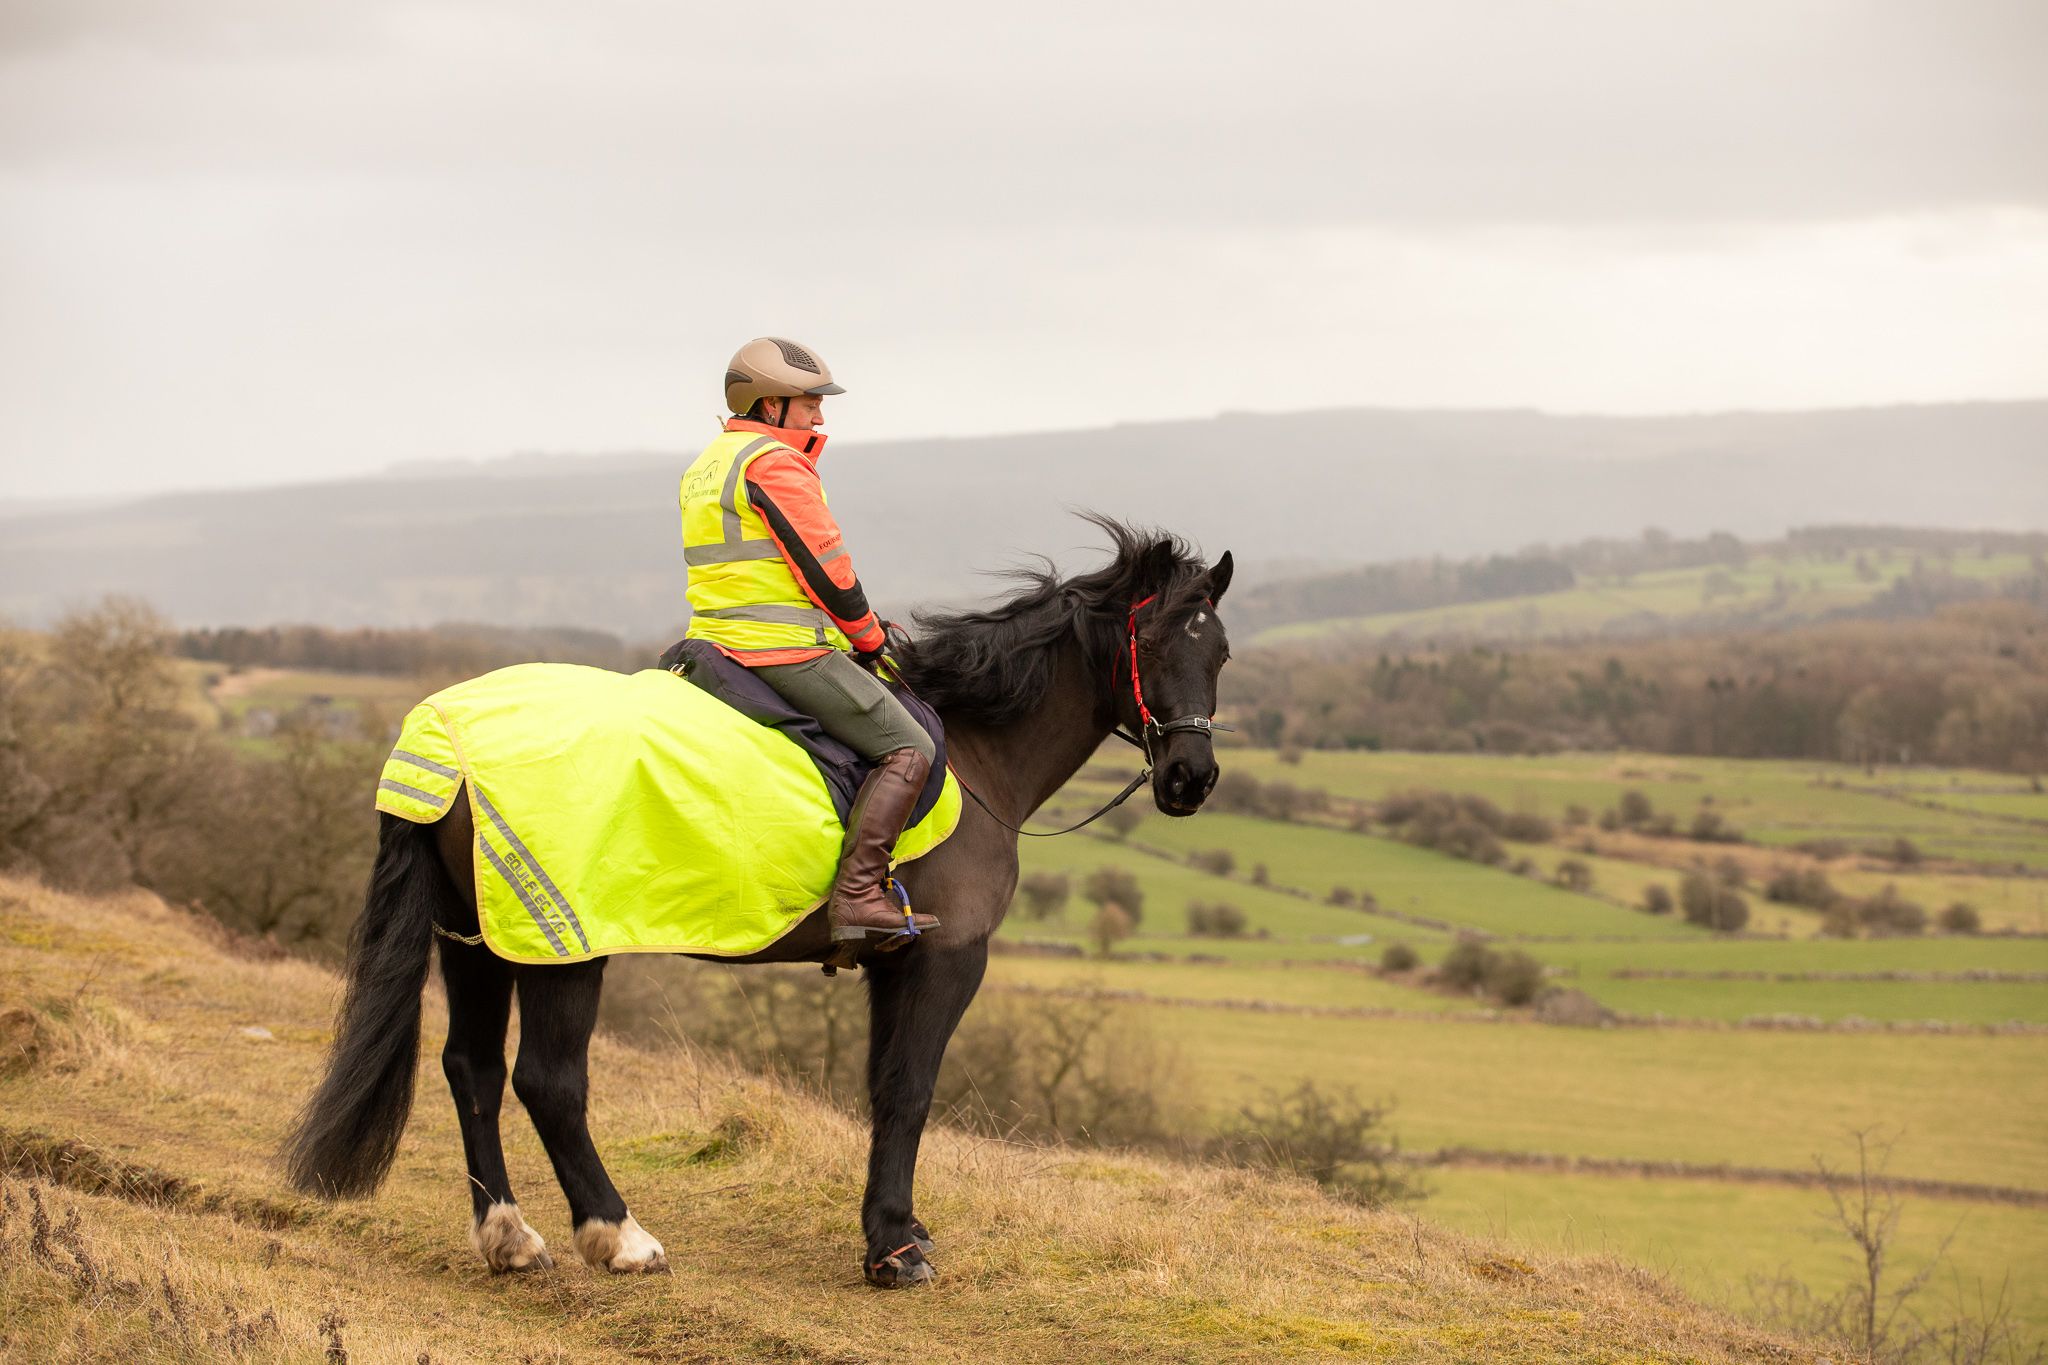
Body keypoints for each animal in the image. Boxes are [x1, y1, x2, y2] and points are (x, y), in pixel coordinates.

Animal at [282, 517, 1234, 1287]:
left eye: (1219, 653)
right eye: (1154, 643)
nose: (1191, 779)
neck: (973, 750)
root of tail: (444, 735)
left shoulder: (891, 963)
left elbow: (881, 1088)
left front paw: (894, 1226)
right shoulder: (945, 959)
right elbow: (910, 1091)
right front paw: (894, 1250)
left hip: (479, 938)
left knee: (471, 1068)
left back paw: (510, 1239)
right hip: (566, 945)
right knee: (547, 1080)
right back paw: (621, 1236)